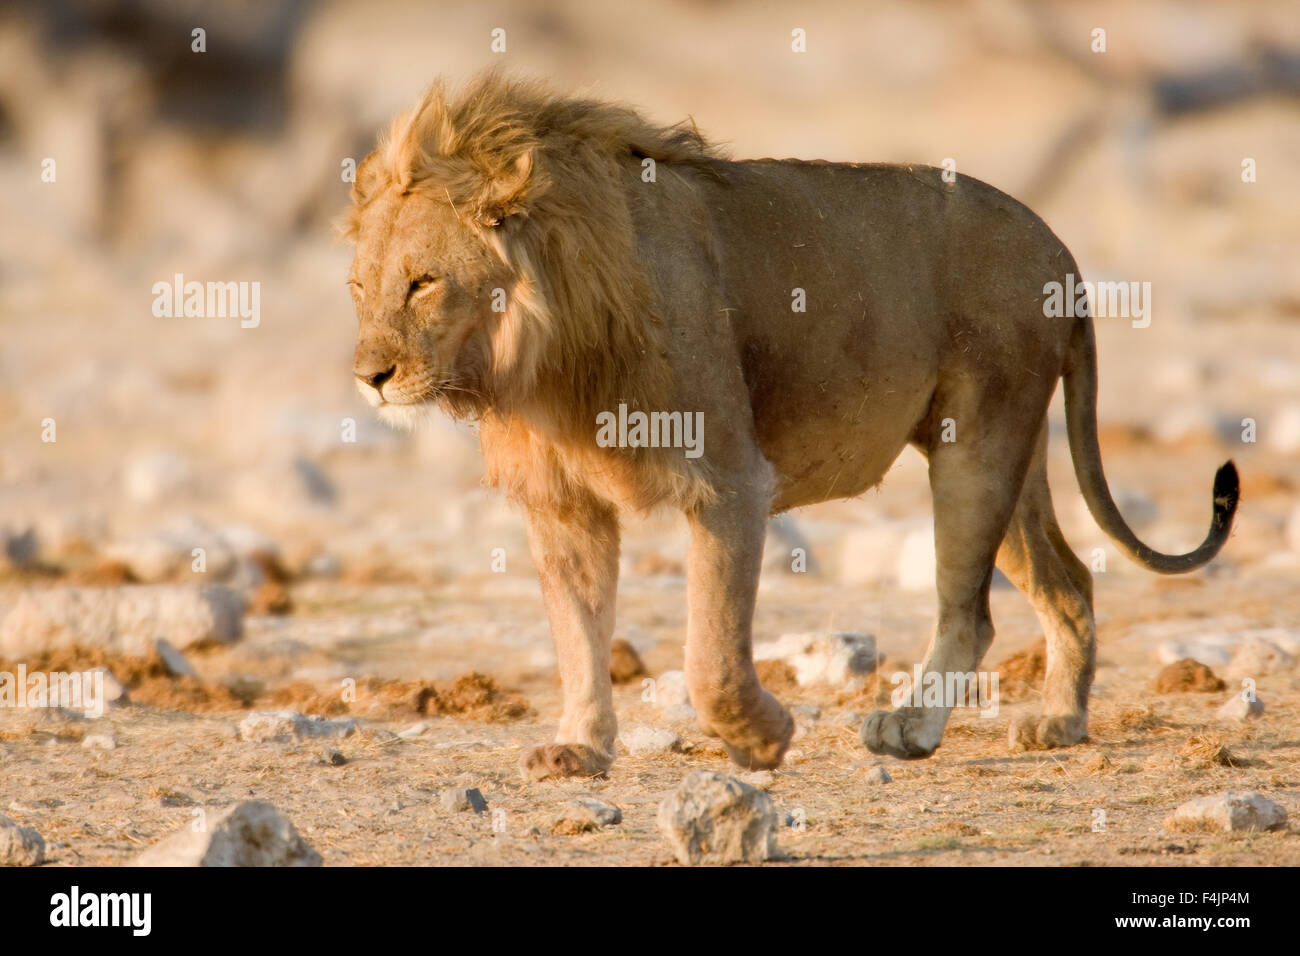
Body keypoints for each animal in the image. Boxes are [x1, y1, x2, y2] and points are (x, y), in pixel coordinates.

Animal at [343, 72, 1238, 780]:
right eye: (359, 287)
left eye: (423, 283)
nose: (369, 378)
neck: (543, 349)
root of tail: (1058, 246)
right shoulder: (561, 503)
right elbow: (579, 635)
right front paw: (581, 748)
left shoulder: (728, 479)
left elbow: (708, 655)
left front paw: (762, 739)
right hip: (1009, 454)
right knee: (1070, 580)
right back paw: (1060, 722)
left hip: (979, 443)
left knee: (971, 611)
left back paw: (911, 728)